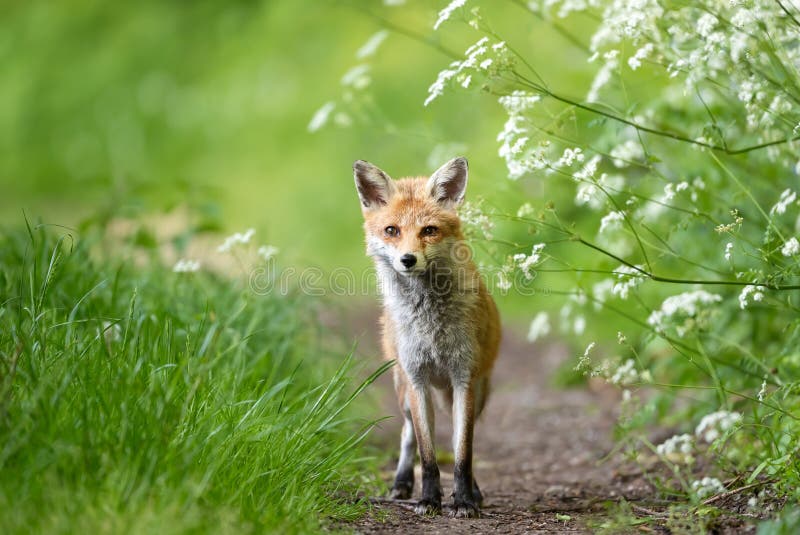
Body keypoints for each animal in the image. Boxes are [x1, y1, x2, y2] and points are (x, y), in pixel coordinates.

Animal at [353, 157, 501, 518]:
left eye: (429, 230)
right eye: (392, 230)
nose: (408, 260)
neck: (430, 325)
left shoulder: (464, 379)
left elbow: (463, 454)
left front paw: (463, 501)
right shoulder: (416, 378)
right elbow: (428, 455)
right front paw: (429, 500)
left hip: (471, 393)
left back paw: (472, 491)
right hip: (404, 390)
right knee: (408, 434)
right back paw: (402, 482)